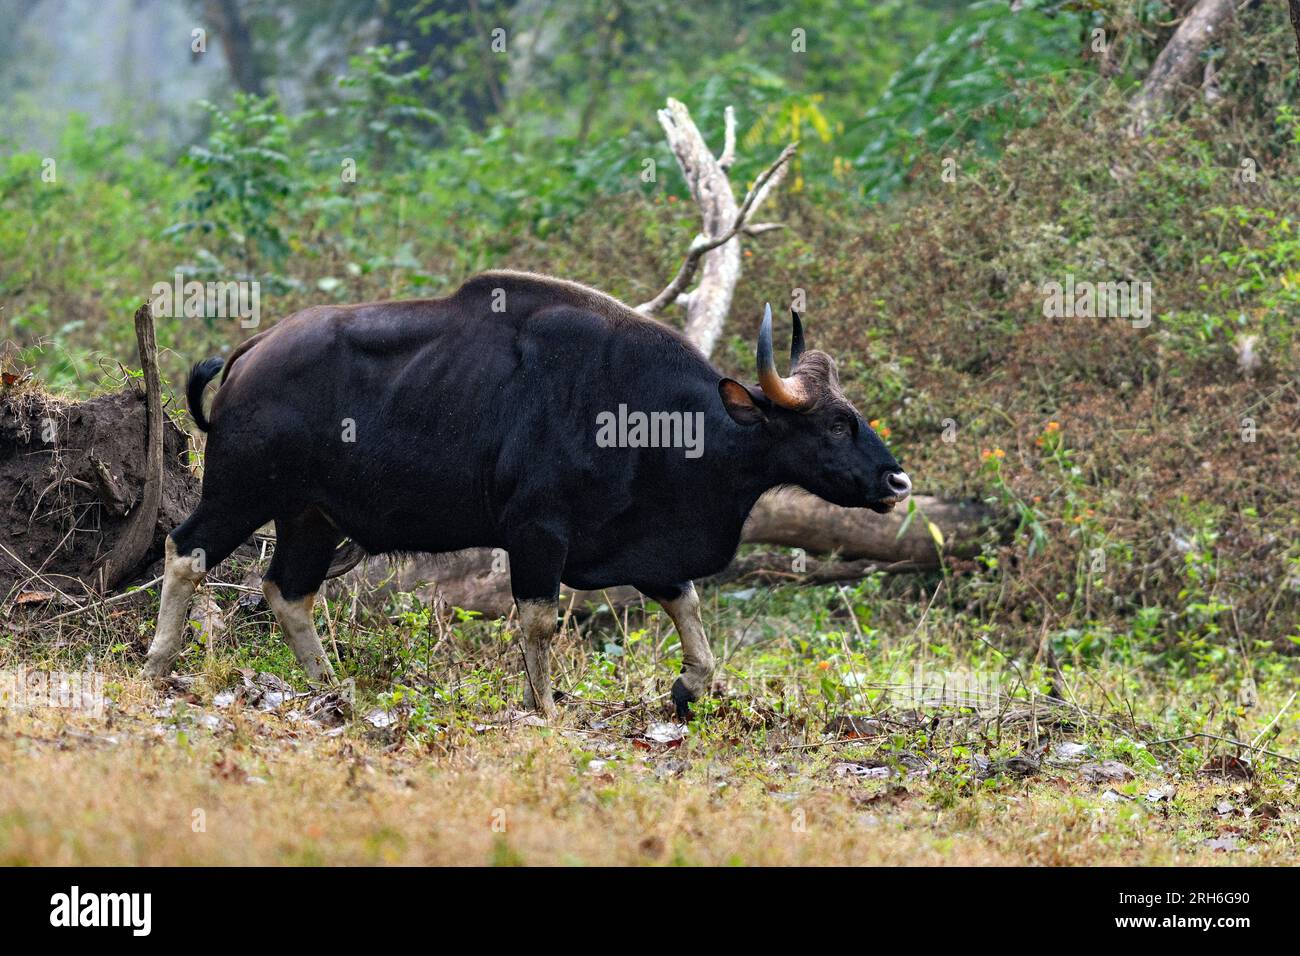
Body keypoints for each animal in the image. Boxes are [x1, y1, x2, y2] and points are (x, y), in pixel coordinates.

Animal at [144, 272, 911, 719]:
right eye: (834, 424)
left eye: (851, 413)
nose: (896, 481)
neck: (652, 414)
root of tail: (250, 351)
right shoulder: (537, 532)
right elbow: (539, 621)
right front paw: (543, 706)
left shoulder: (642, 540)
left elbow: (685, 603)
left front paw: (689, 687)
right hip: (242, 490)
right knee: (186, 550)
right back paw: (157, 667)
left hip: (310, 514)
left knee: (288, 591)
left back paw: (333, 689)